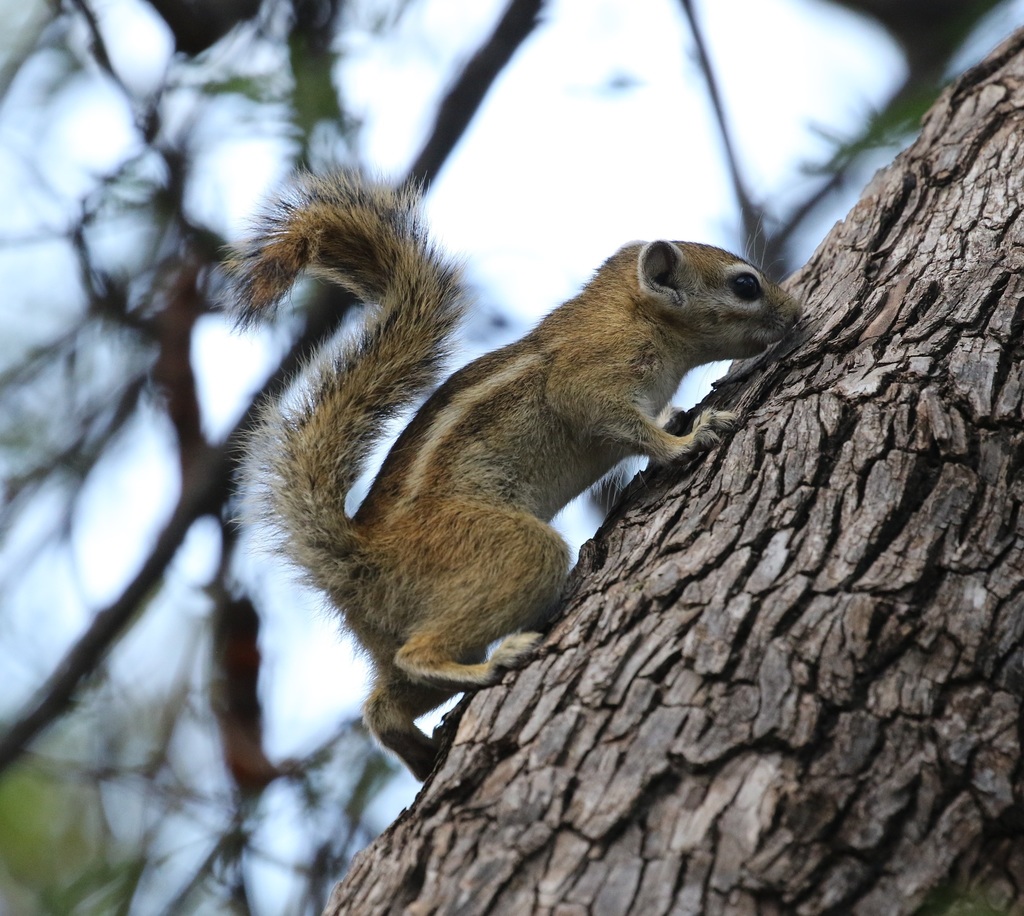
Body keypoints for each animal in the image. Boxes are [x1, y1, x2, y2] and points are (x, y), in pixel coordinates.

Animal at [226, 170, 802, 781]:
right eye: (746, 285)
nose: (796, 313)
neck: (626, 312)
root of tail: (360, 559)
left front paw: (676, 417)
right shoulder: (588, 378)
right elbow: (616, 421)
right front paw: (687, 438)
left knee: (382, 706)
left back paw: (420, 751)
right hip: (510, 551)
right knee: (419, 655)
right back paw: (493, 667)